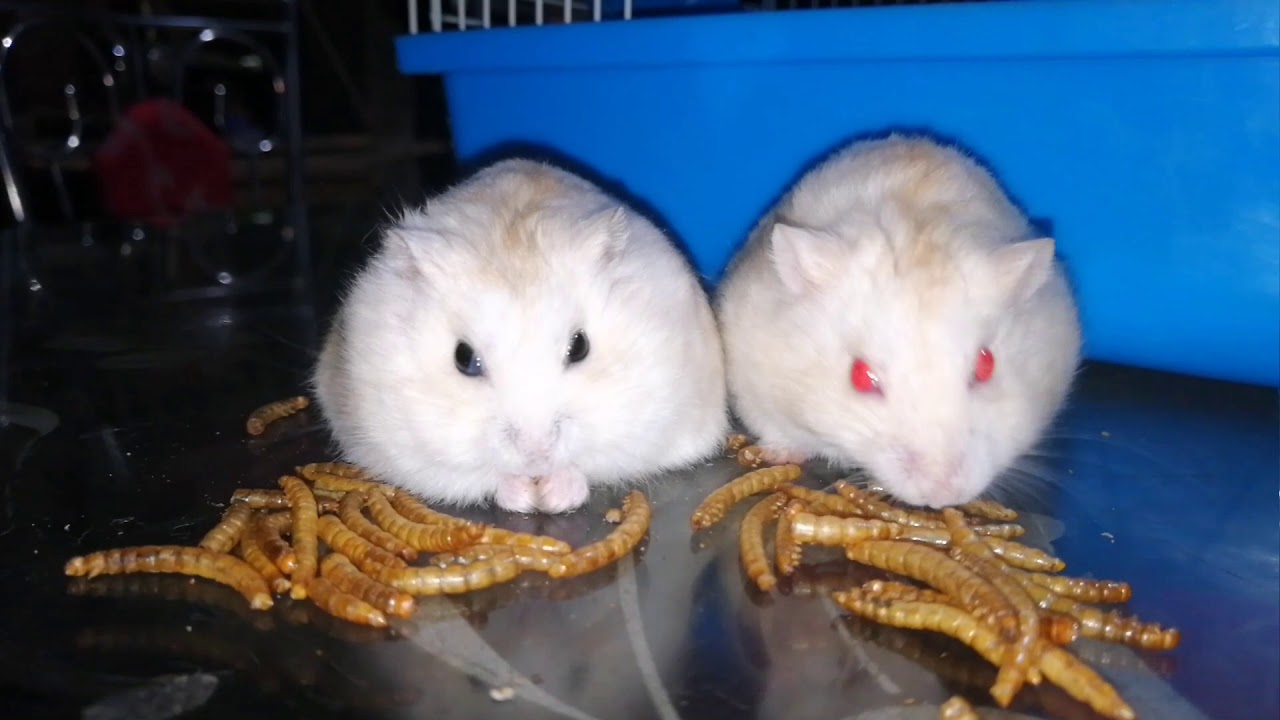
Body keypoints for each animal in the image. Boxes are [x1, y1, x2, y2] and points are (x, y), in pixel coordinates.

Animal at [312, 158, 729, 514]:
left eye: (580, 347)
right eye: (464, 359)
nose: (537, 455)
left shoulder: (650, 422)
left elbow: (595, 461)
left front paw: (553, 496)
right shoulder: (406, 445)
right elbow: (479, 475)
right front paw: (526, 498)